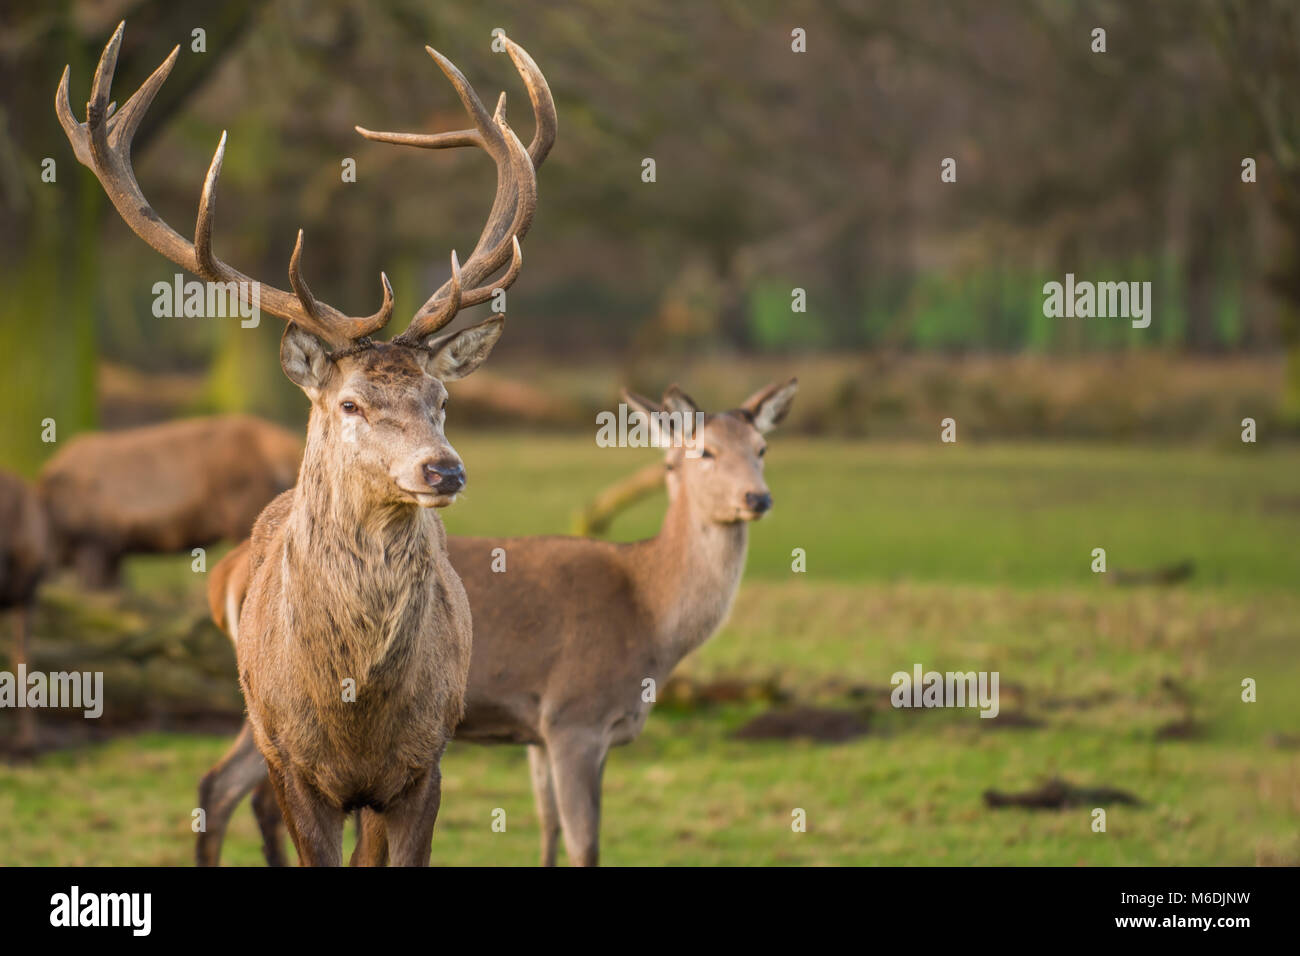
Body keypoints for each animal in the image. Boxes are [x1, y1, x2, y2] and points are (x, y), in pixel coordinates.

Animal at [196, 379, 797, 867]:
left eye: (762, 449)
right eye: (703, 452)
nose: (758, 497)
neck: (649, 616)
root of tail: (222, 576)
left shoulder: (539, 729)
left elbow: (548, 828)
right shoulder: (575, 714)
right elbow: (584, 843)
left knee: (225, 786)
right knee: (229, 786)